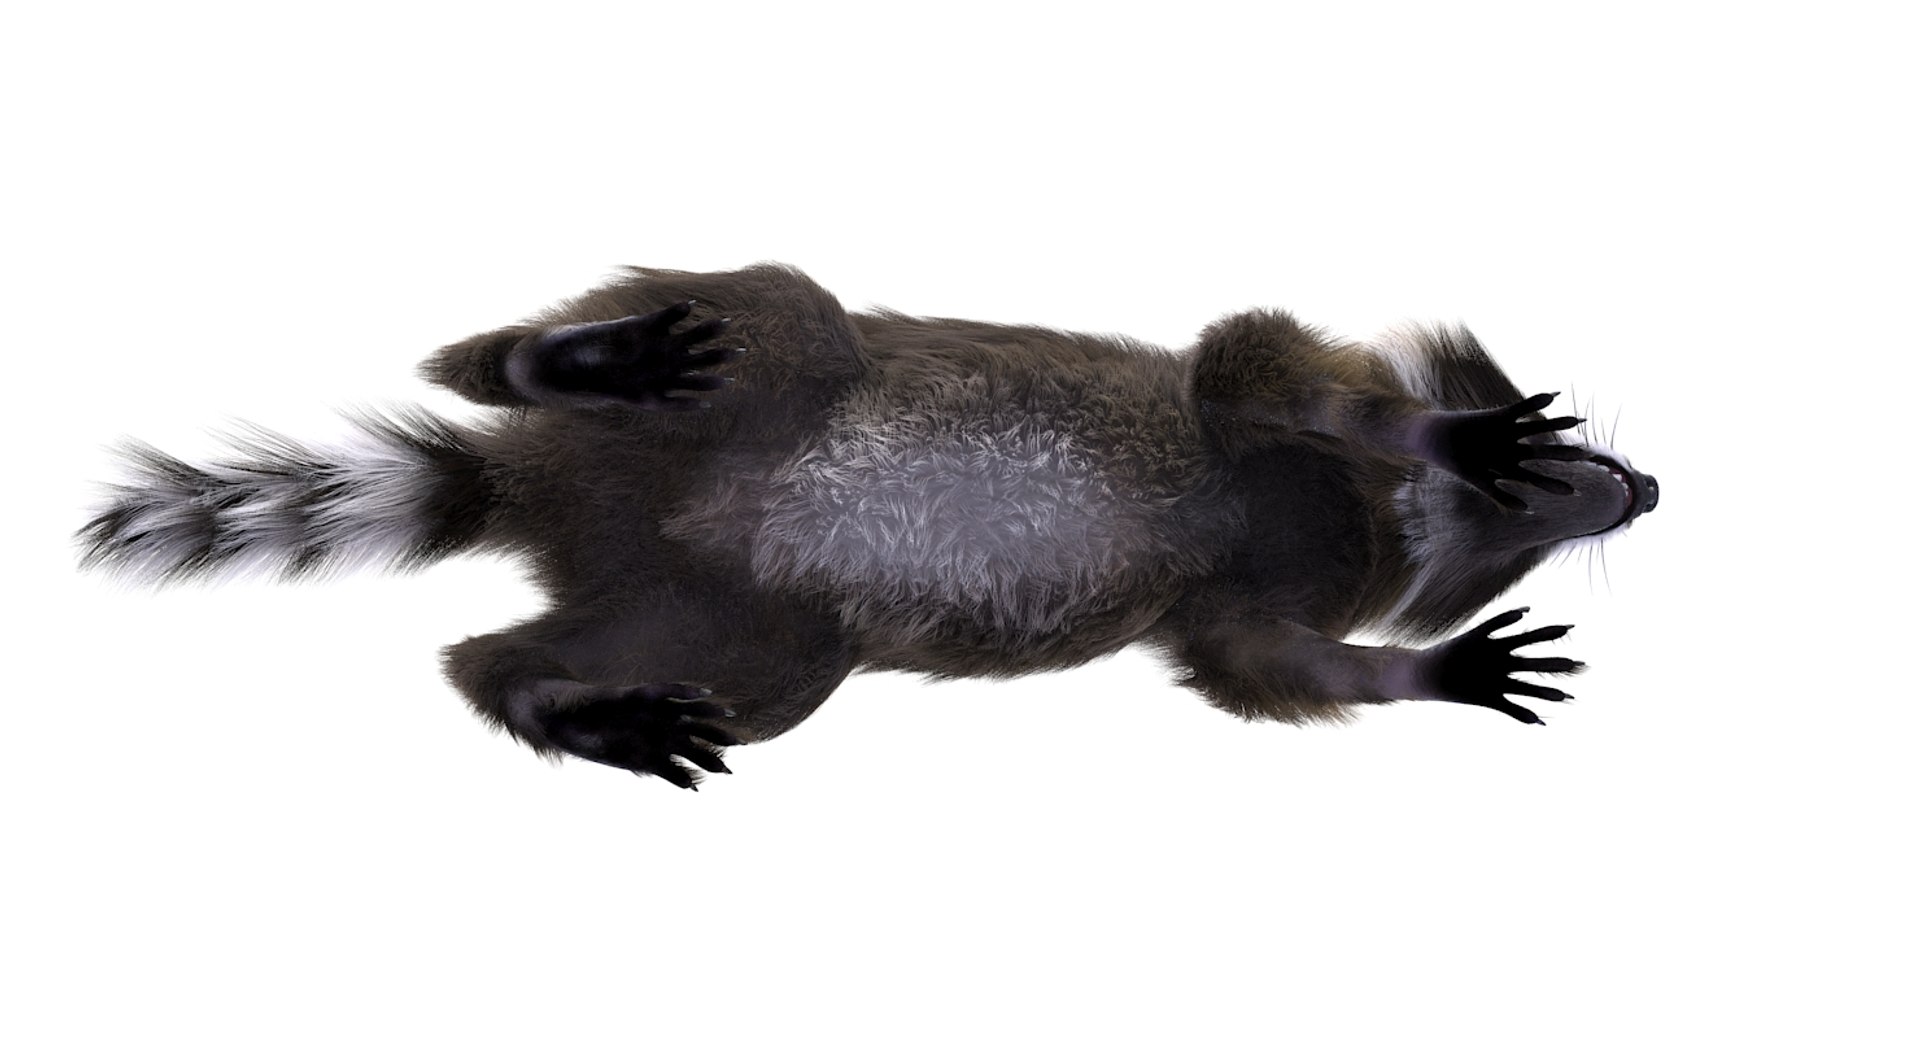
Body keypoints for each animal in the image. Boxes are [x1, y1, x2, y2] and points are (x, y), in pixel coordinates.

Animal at [78, 263, 1658, 788]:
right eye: (1570, 457)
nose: (1646, 492)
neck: (1383, 527)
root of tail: (553, 493)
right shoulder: (1247, 410)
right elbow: (1252, 367)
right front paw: (1437, 435)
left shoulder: (1232, 609)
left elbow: (1262, 663)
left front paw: (1424, 668)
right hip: (759, 359)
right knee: (744, 308)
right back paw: (555, 362)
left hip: (739, 633)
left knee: (618, 669)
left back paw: (536, 684)